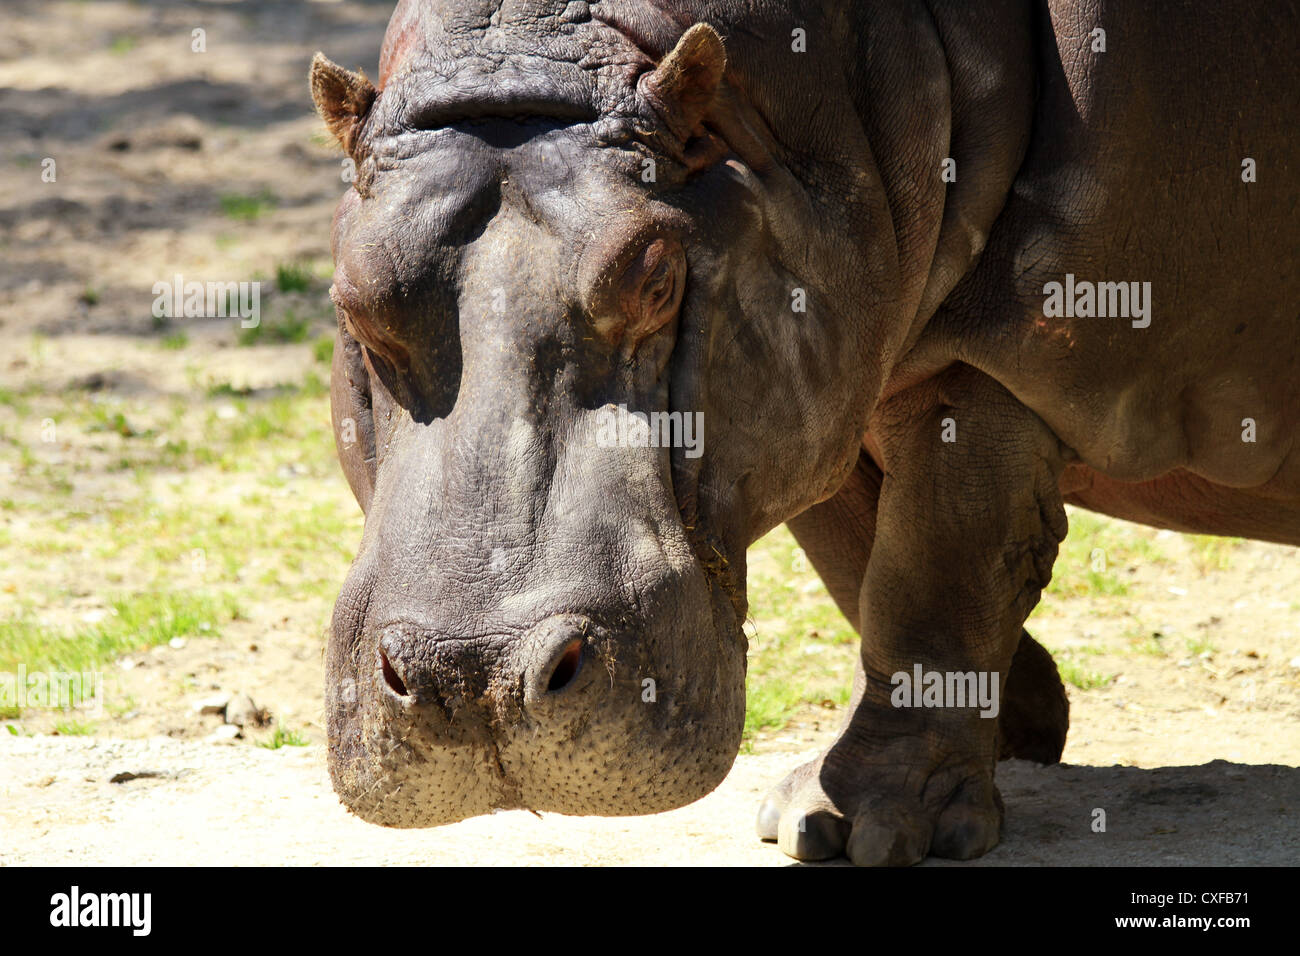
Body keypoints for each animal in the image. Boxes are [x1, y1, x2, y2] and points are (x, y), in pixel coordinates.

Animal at [310, 0, 1299, 865]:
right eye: (351, 295)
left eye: (656, 275)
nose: (470, 676)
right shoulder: (841, 378)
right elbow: (862, 568)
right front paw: (1020, 726)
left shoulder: (983, 356)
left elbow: (932, 573)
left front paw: (854, 829)